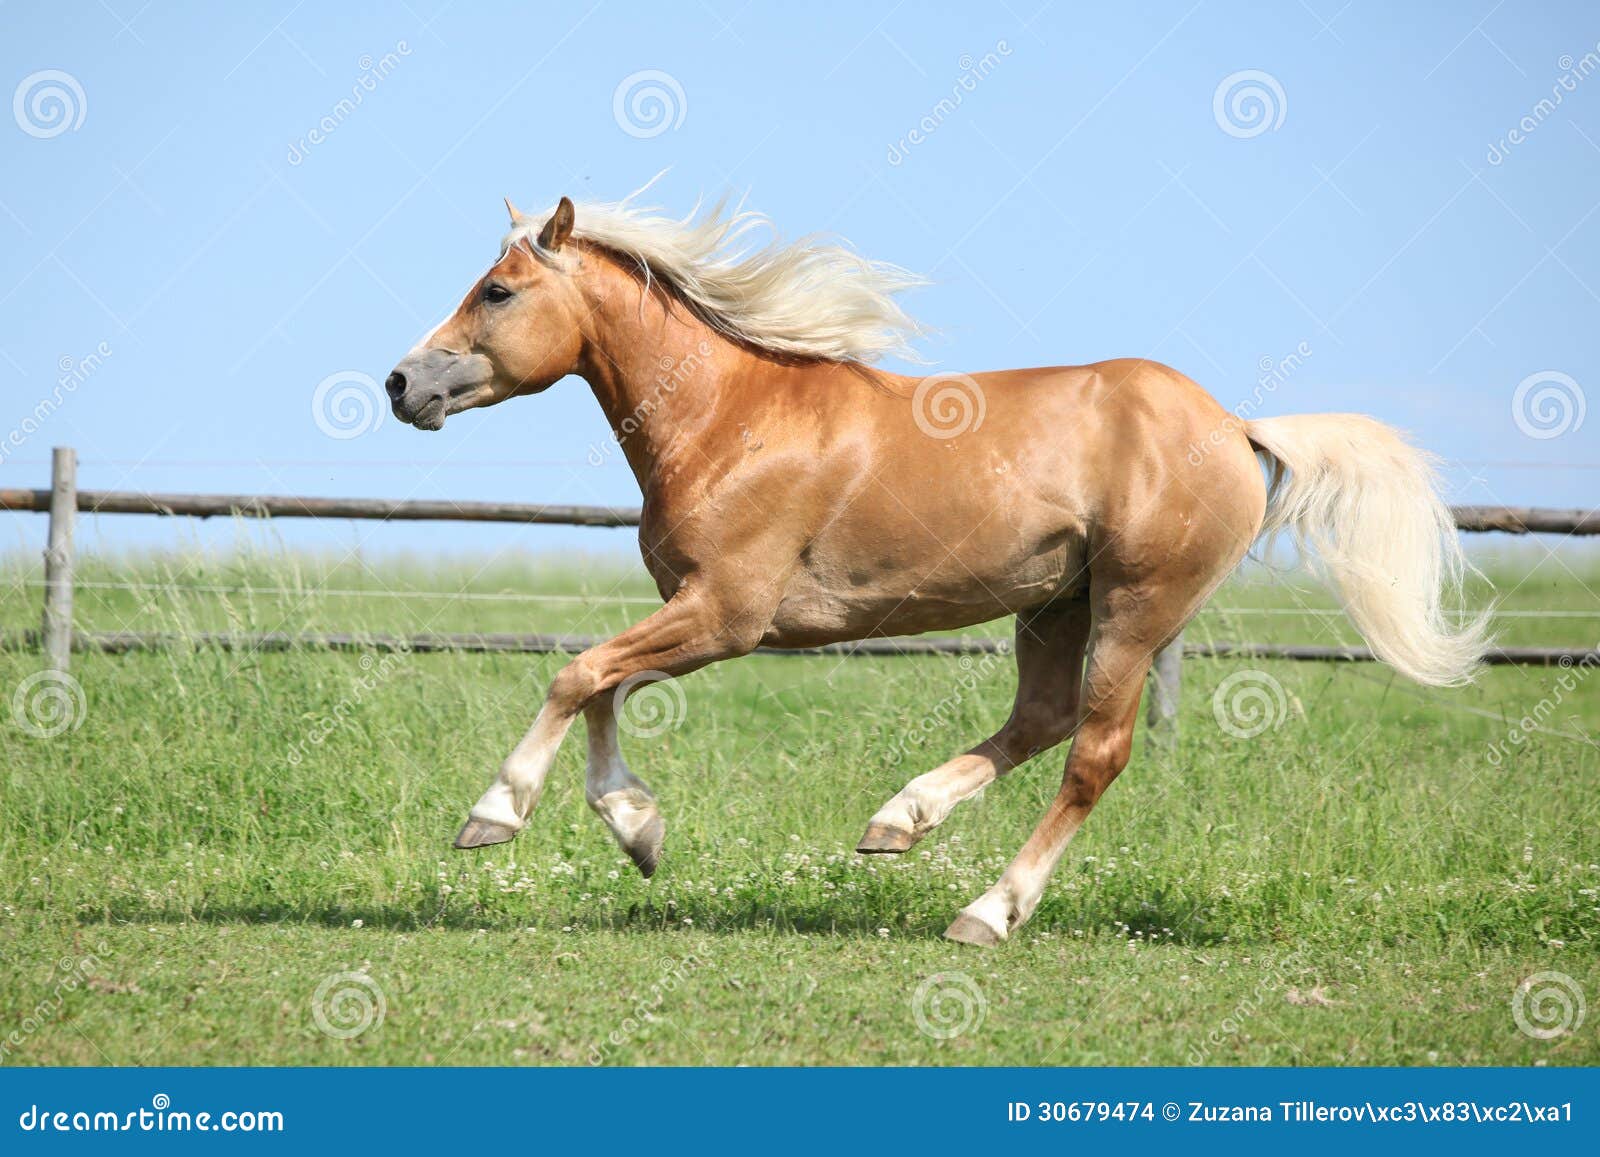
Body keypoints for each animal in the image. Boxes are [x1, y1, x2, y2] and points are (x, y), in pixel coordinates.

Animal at [383, 191, 1490, 946]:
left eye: (498, 290)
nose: (401, 383)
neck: (731, 417)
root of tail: (1232, 424)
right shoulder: (700, 613)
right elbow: (605, 683)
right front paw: (637, 826)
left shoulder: (729, 613)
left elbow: (576, 672)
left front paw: (495, 816)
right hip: (1057, 605)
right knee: (1040, 719)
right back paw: (897, 821)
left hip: (1136, 606)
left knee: (1094, 753)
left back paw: (987, 910)